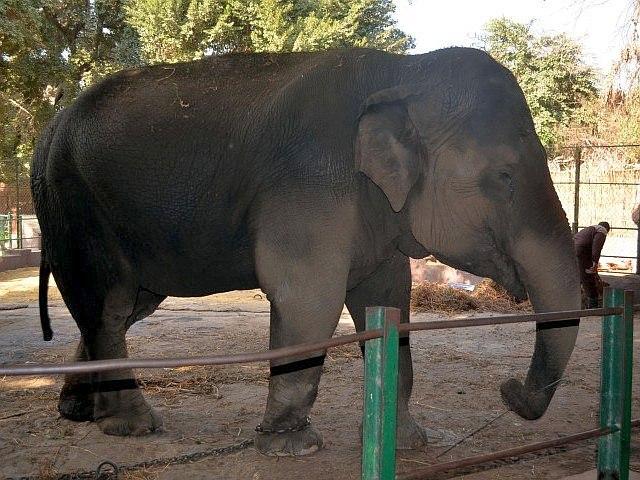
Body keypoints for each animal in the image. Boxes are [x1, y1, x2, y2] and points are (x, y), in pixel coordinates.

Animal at [31, 47, 580, 456]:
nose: (509, 390)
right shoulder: (310, 183)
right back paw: (134, 426)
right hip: (75, 207)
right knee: (109, 305)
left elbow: (387, 298)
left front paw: (405, 442)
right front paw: (291, 445)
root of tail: (51, 125)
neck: (404, 71)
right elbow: (307, 297)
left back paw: (79, 413)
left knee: (123, 310)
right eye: (504, 177)